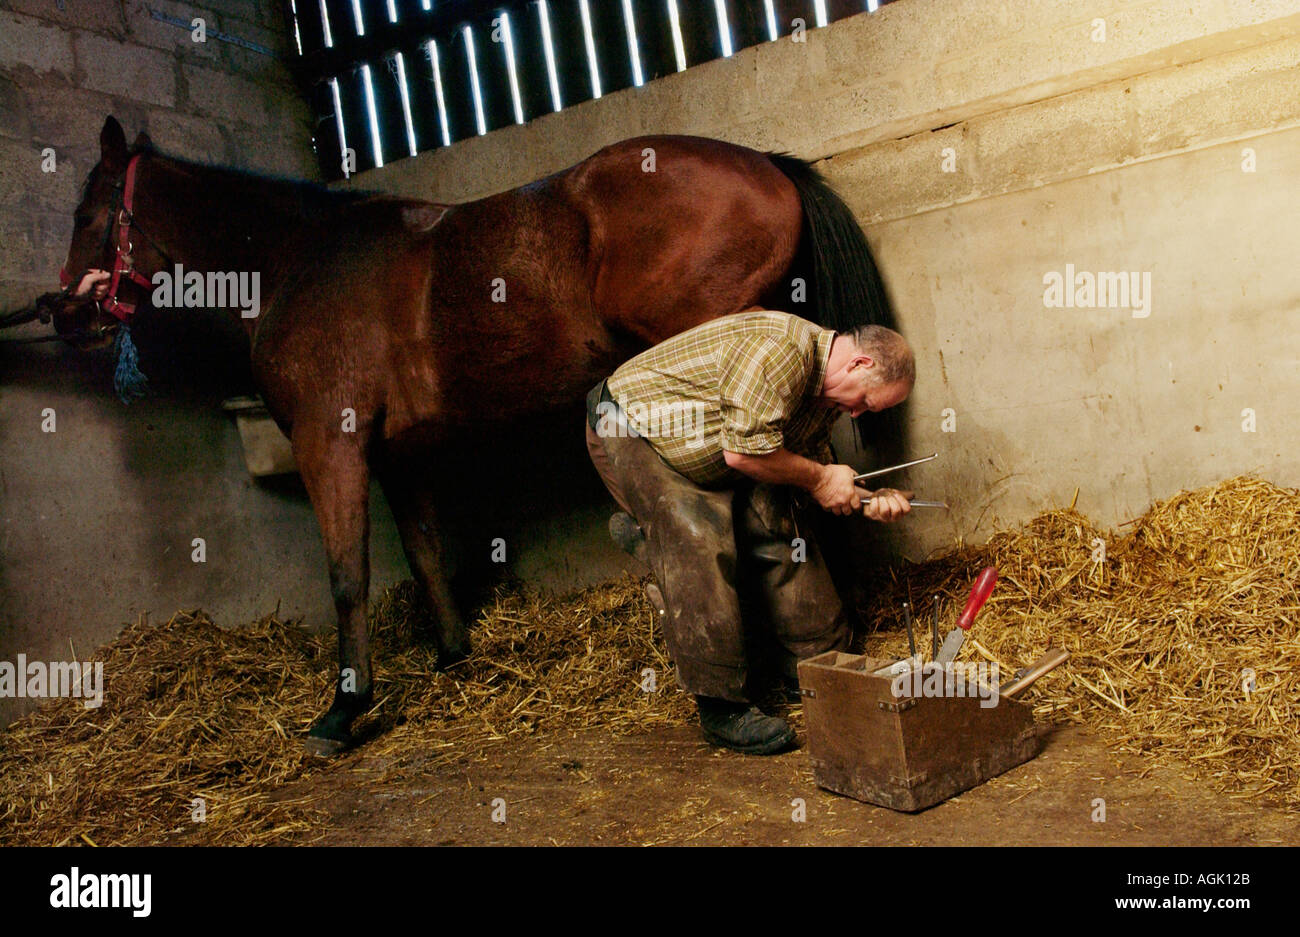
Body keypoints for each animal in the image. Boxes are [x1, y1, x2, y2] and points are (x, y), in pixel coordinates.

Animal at [48, 116, 898, 754]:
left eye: (88, 216)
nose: (64, 315)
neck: (301, 262)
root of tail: (766, 165)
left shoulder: (333, 444)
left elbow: (347, 576)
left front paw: (342, 711)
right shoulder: (400, 456)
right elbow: (425, 554)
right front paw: (455, 654)